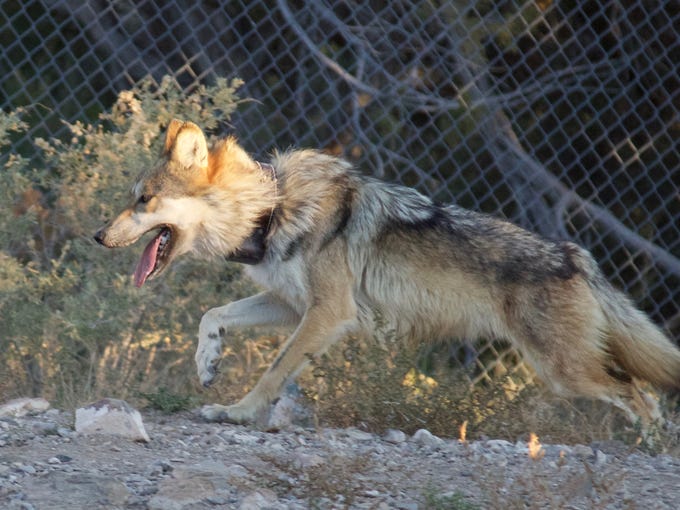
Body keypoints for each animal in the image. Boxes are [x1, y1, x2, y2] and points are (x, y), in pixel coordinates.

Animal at [95, 119, 680, 427]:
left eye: (144, 200)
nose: (98, 236)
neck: (272, 209)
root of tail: (576, 256)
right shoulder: (291, 304)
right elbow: (212, 315)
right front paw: (208, 364)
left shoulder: (328, 314)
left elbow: (274, 371)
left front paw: (237, 412)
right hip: (563, 372)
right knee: (641, 394)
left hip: (564, 371)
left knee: (644, 397)